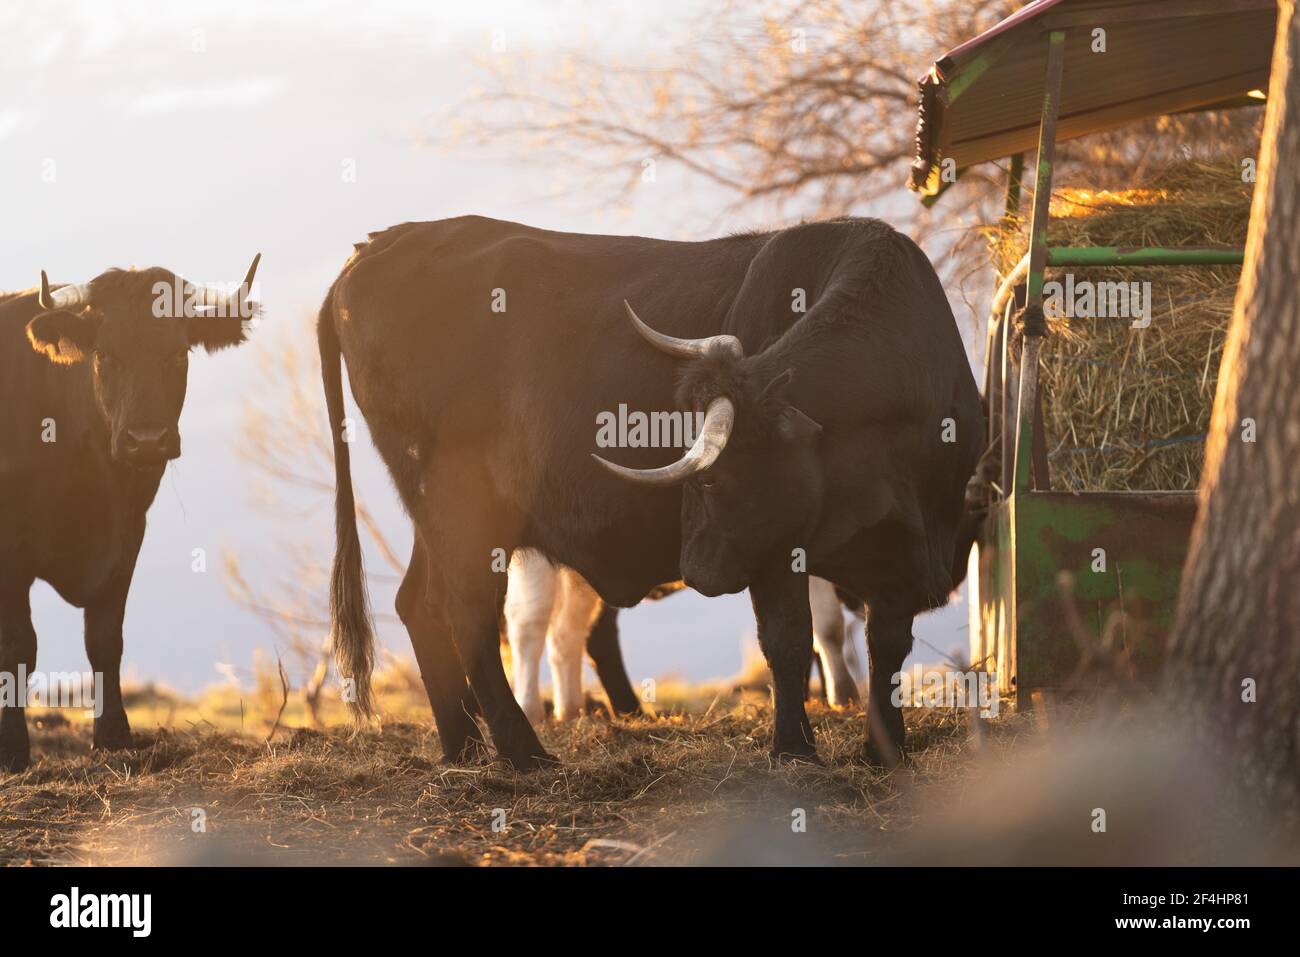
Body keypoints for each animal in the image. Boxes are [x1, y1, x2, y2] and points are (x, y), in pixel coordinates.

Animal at [0, 258, 260, 771]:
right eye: (104, 355)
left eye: (178, 354)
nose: (146, 440)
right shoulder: (9, 552)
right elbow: (19, 645)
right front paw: (13, 752)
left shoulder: (127, 535)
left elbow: (105, 640)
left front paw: (115, 737)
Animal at [502, 550, 861, 723]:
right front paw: (841, 695)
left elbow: (825, 624)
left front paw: (842, 697)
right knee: (528, 624)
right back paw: (531, 710)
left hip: (579, 571)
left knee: (567, 632)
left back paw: (572, 710)